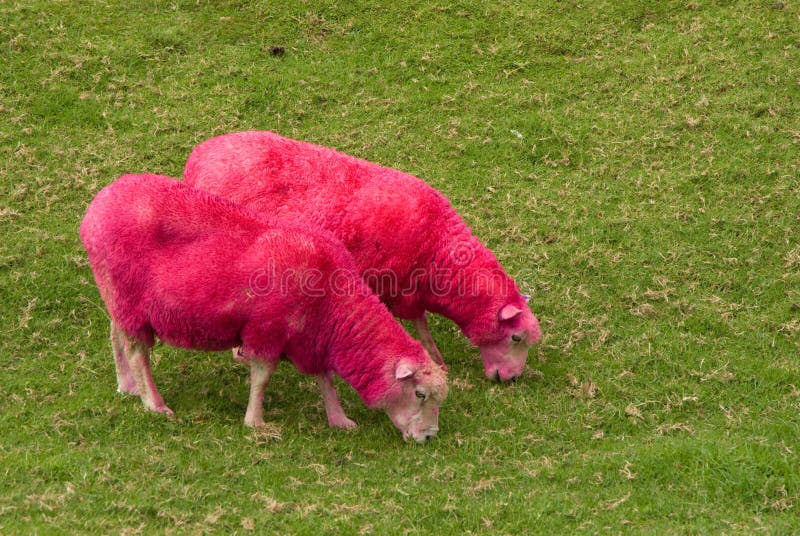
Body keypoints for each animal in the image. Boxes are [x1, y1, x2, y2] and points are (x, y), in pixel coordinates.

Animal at [79, 174, 448, 442]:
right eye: (419, 394)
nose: (429, 437)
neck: (332, 302)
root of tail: (98, 205)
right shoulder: (266, 330)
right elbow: (262, 377)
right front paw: (255, 422)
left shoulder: (312, 336)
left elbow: (324, 378)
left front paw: (339, 419)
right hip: (129, 299)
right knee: (137, 353)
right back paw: (154, 404)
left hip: (119, 298)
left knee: (116, 337)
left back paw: (128, 387)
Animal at [184, 131, 541, 381]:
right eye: (516, 337)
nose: (511, 379)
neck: (439, 248)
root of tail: (199, 157)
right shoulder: (394, 285)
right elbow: (418, 325)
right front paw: (434, 359)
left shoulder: (409, 290)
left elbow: (420, 322)